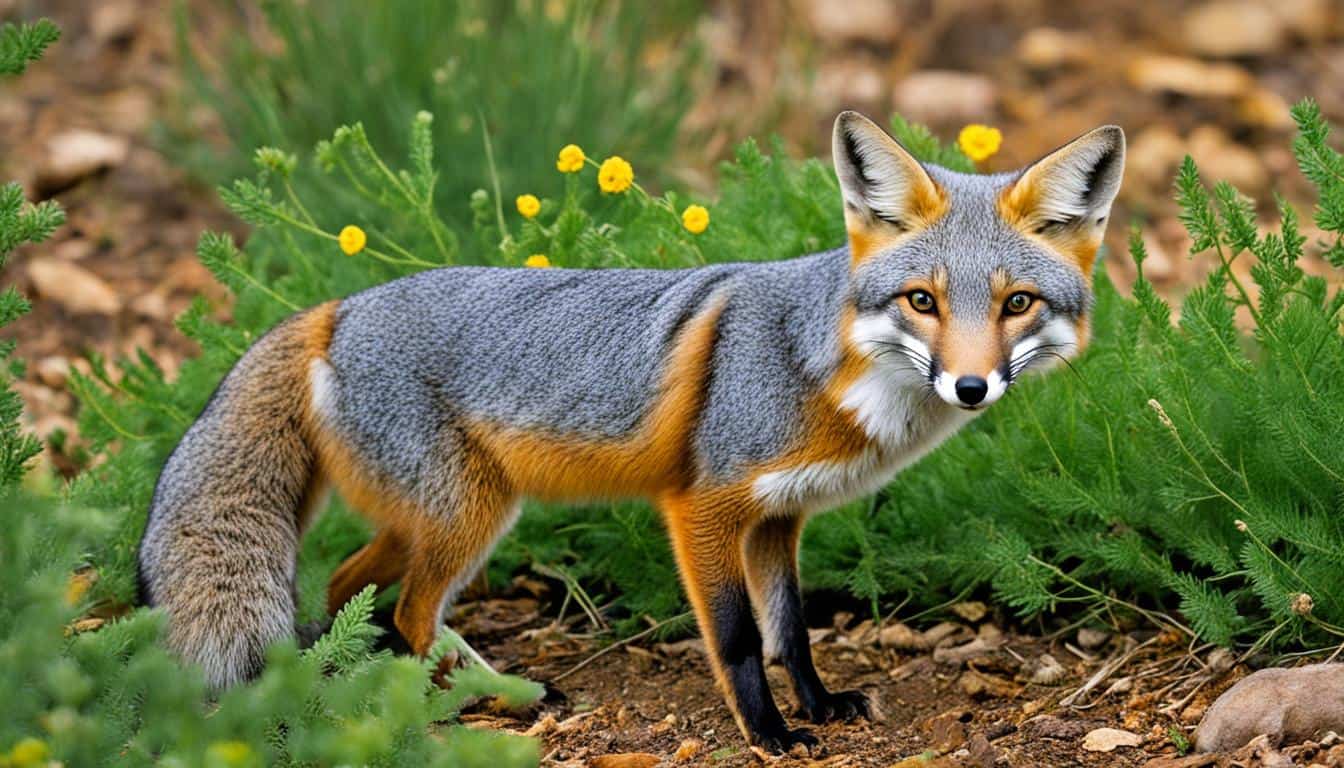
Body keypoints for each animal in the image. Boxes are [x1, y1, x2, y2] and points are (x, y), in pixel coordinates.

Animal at [137, 111, 1123, 753]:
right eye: (922, 301)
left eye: (1017, 304)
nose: (971, 385)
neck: (826, 367)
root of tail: (333, 310)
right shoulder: (702, 509)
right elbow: (738, 640)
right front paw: (768, 735)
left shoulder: (780, 519)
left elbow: (793, 632)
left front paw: (817, 707)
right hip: (467, 516)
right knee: (411, 610)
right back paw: (491, 697)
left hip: (427, 518)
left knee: (352, 588)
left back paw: (379, 683)